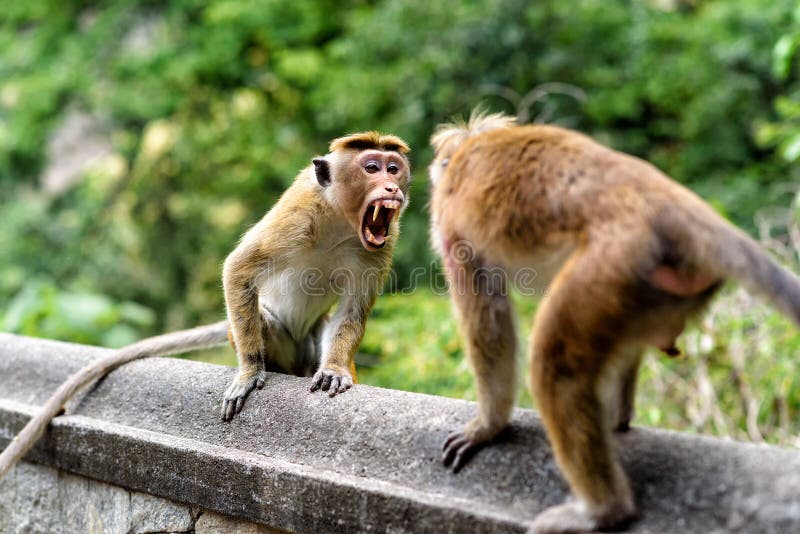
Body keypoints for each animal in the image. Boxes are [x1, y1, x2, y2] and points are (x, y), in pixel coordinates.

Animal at [0, 131, 410, 480]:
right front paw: (249, 373)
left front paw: (336, 370)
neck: (340, 219)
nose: (392, 187)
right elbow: (238, 269)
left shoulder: (381, 244)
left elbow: (351, 313)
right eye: (371, 168)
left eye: (393, 168)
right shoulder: (295, 215)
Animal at [428, 110, 800, 533]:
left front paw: (487, 427)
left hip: (609, 266)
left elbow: (488, 321)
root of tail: (670, 203)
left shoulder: (453, 230)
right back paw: (616, 424)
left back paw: (603, 511)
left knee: (556, 369)